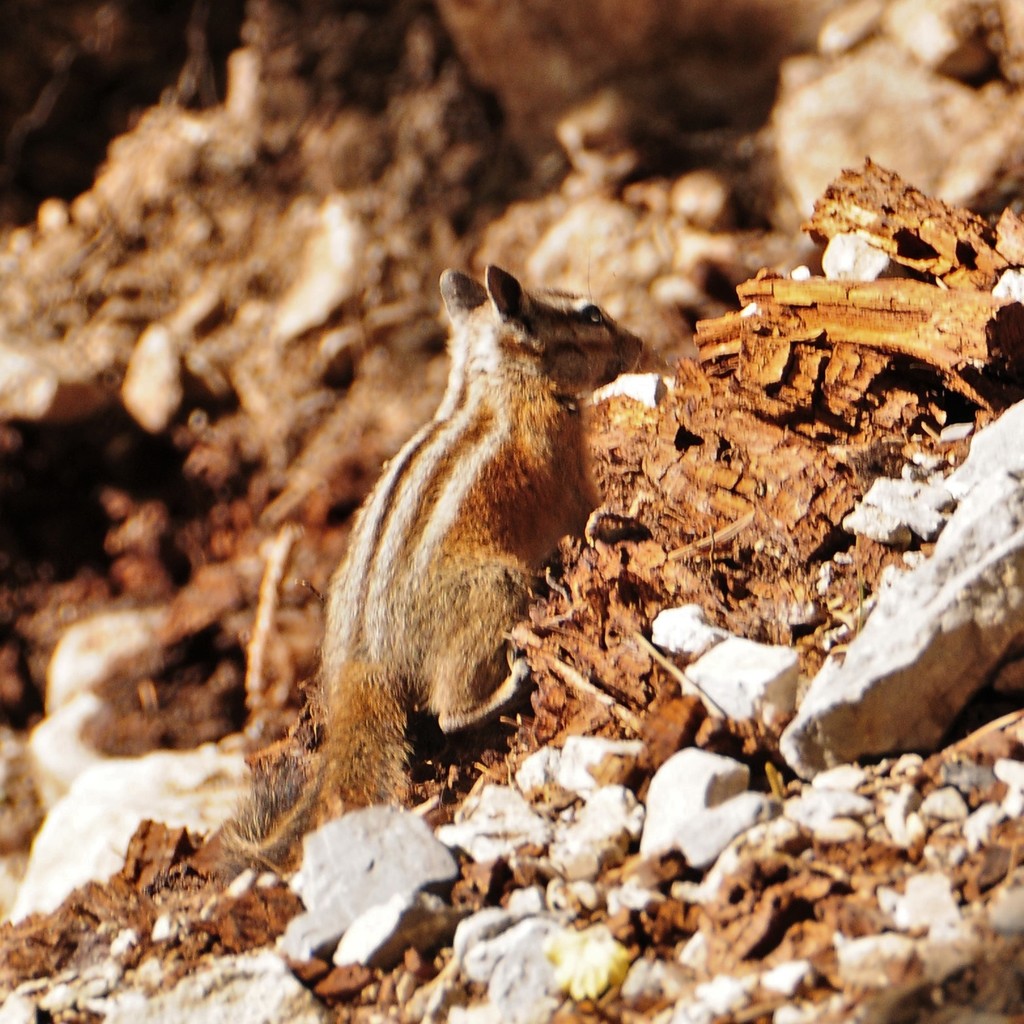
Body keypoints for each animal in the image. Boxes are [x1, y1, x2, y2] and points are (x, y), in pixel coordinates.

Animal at [222, 265, 643, 873]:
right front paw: (619, 515)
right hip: (497, 587)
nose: (639, 344)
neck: (496, 387)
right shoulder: (566, 472)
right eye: (591, 316)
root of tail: (364, 663)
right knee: (448, 711)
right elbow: (585, 513)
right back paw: (508, 687)